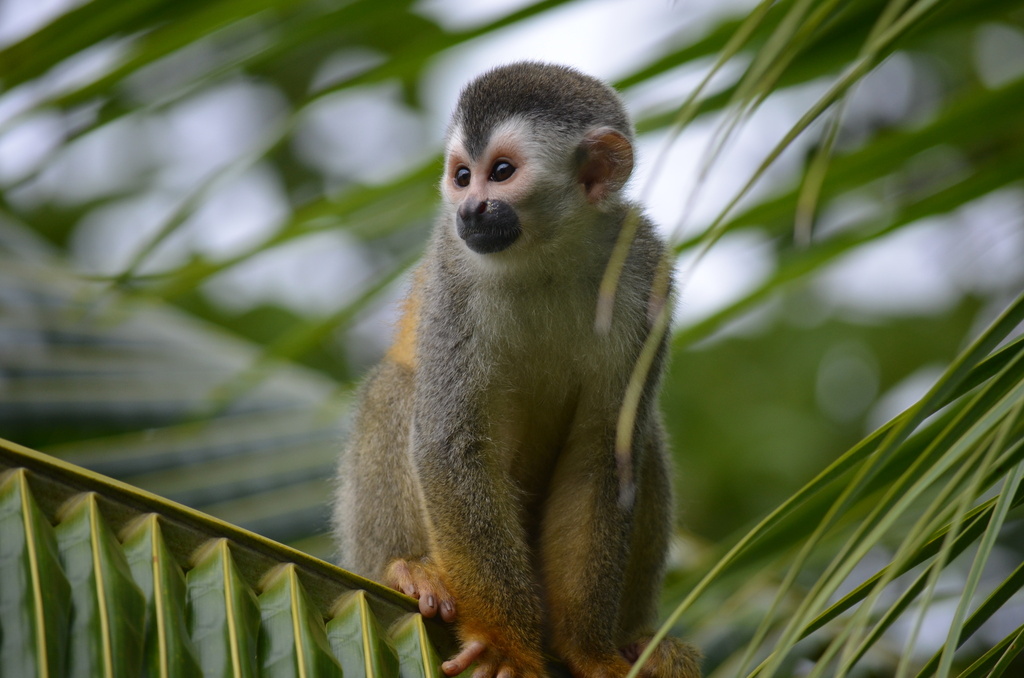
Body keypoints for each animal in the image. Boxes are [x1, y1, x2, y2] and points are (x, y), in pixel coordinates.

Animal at [332, 62, 701, 678]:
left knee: (644, 438)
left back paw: (635, 640)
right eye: (462, 176)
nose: (469, 209)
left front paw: (590, 651)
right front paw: (507, 645)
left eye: (500, 173)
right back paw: (409, 570)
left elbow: (604, 454)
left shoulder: (644, 271)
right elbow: (450, 445)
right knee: (398, 391)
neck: (543, 254)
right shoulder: (454, 274)